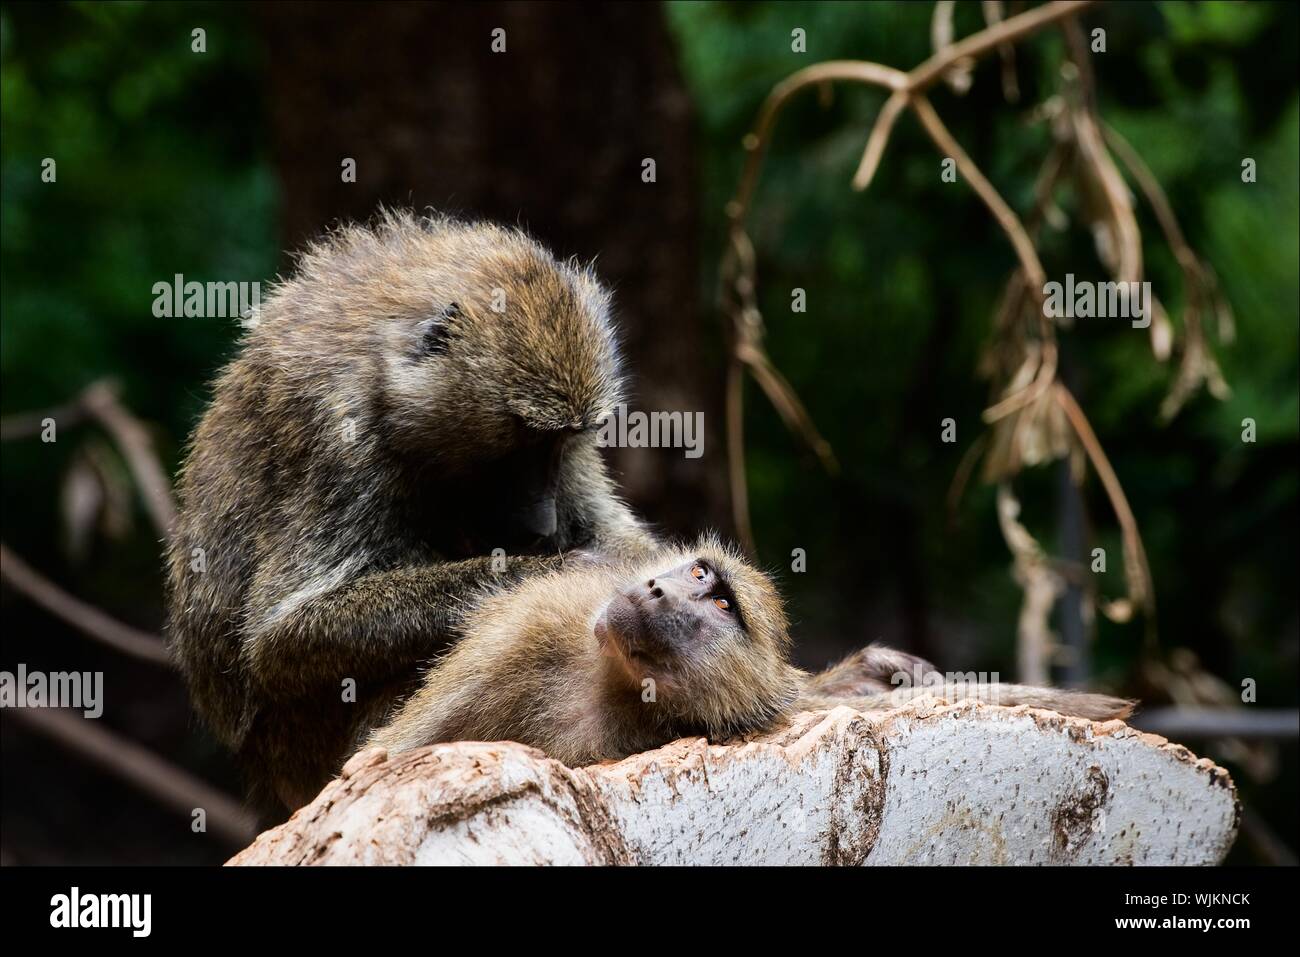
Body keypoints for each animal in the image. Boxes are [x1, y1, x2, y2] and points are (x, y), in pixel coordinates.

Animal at [165, 210, 658, 813]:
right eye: (522, 443)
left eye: (561, 444)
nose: (542, 524)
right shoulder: (338, 436)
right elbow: (281, 638)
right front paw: (566, 571)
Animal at [368, 536, 1135, 766]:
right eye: (697, 572)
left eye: (721, 606)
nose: (653, 587)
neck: (611, 678)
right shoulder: (530, 627)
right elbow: (376, 762)